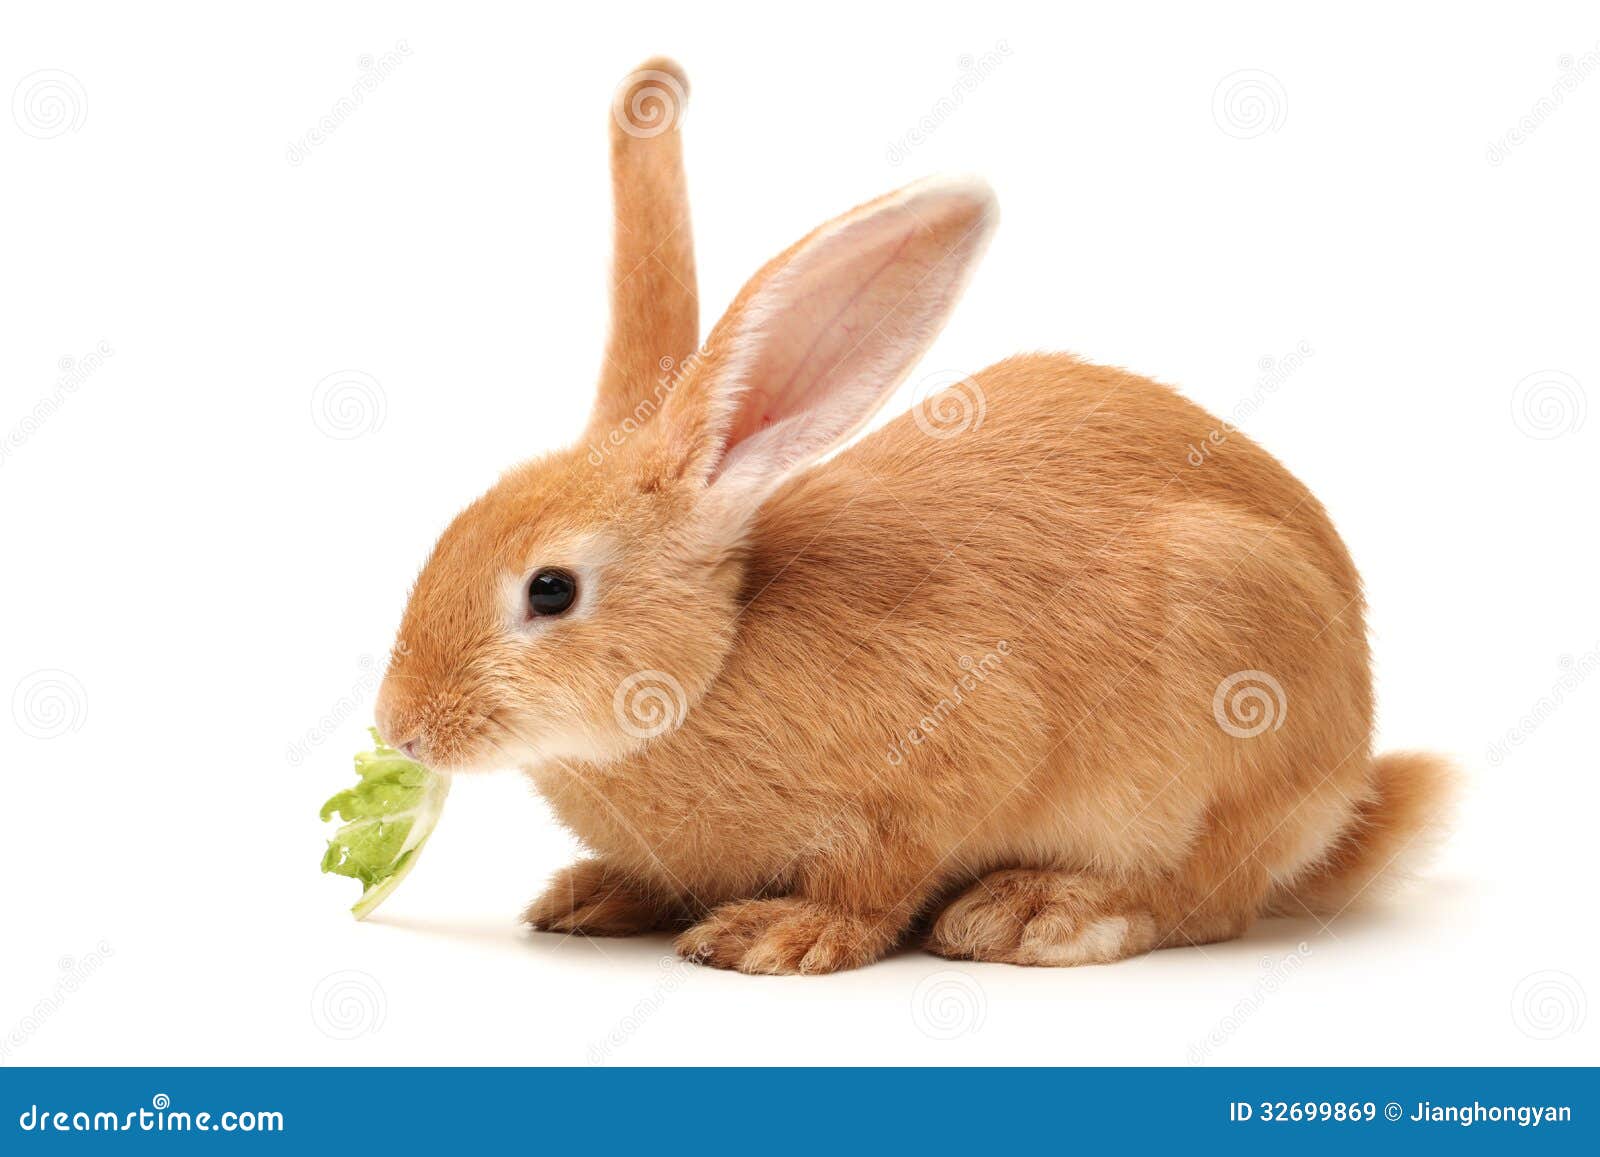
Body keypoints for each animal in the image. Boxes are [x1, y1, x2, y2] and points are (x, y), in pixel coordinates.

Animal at [374, 57, 1456, 974]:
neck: (719, 658)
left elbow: (876, 876)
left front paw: (781, 934)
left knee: (1206, 897)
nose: (401, 730)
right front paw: (593, 894)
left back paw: (1039, 911)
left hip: (1228, 716)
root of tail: (1345, 790)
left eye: (551, 590)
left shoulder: (944, 763)